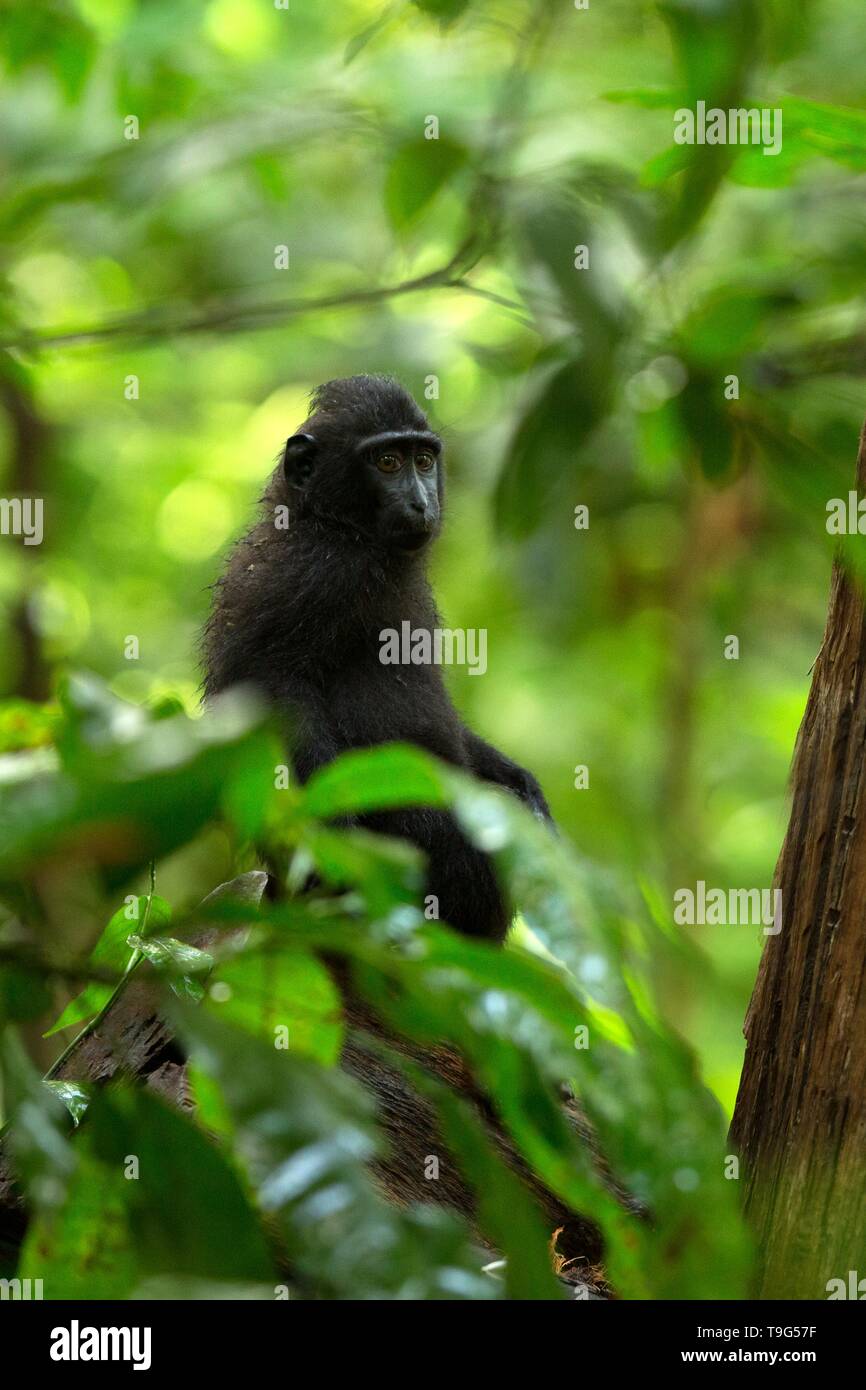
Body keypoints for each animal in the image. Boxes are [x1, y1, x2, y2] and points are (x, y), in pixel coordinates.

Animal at [203, 375, 553, 941]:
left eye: (423, 460)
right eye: (387, 462)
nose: (421, 504)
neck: (331, 523)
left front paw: (522, 780)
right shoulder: (319, 573)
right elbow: (273, 685)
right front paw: (333, 853)